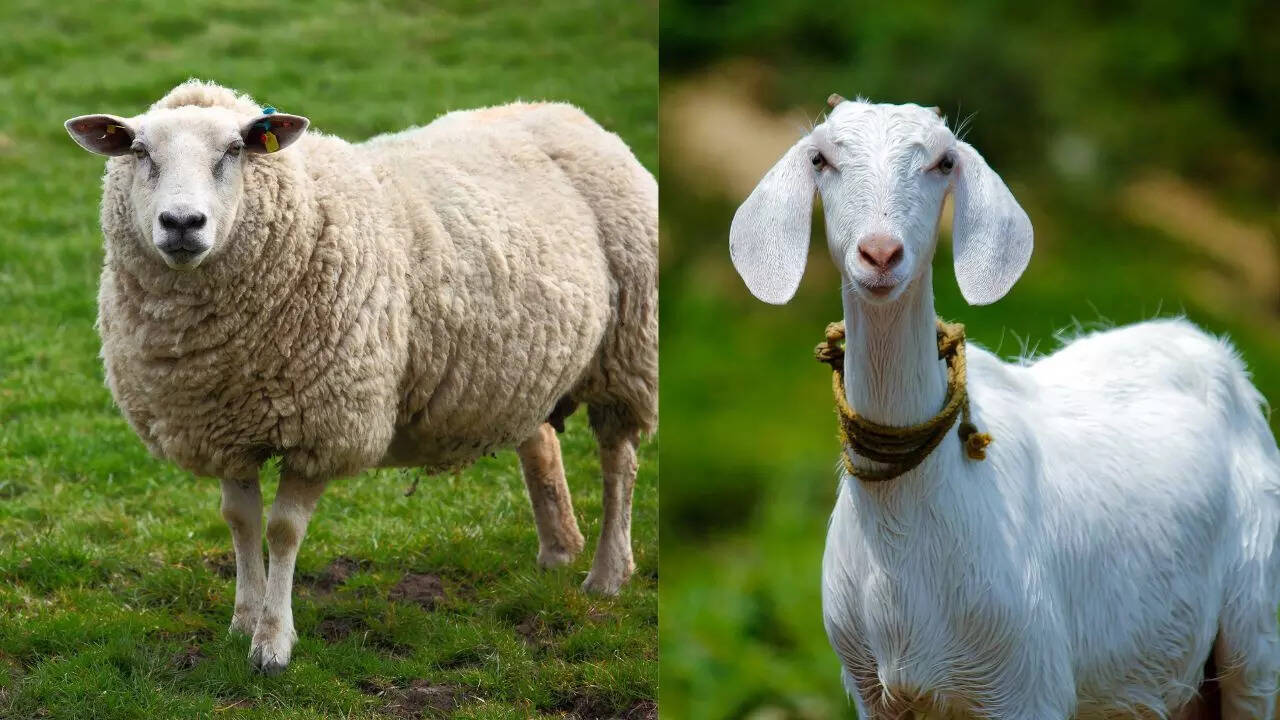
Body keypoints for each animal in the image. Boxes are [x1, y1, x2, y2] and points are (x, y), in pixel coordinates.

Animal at [64, 79, 657, 674]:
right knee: (539, 444)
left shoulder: (324, 426)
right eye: (140, 151)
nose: (182, 224)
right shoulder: (223, 426)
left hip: (626, 352)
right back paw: (558, 551)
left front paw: (273, 643)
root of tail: (566, 113)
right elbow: (240, 521)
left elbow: (282, 530)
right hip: (521, 366)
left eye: (234, 151)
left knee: (619, 463)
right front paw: (241, 623)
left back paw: (607, 574)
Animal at [730, 96, 1280, 718]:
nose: (880, 253)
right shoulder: (873, 690)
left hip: (1254, 625)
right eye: (820, 158)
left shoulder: (1027, 684)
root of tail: (1211, 348)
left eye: (944, 162)